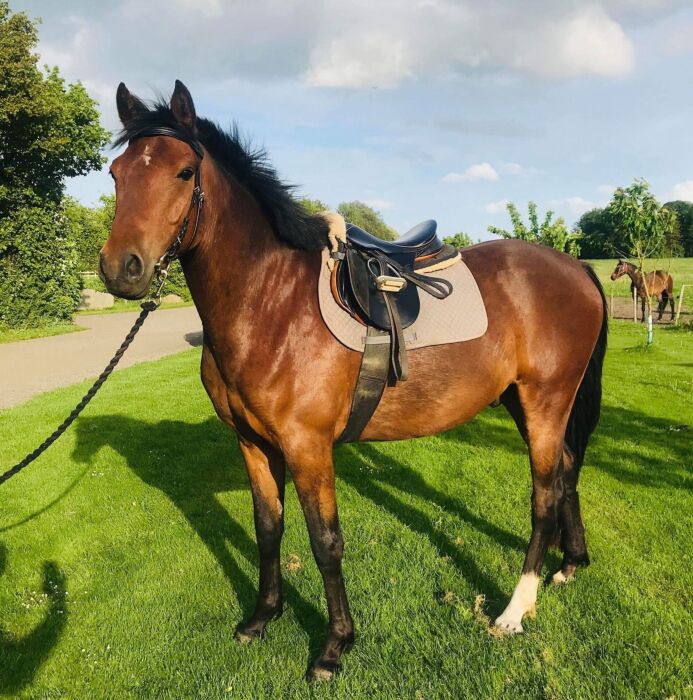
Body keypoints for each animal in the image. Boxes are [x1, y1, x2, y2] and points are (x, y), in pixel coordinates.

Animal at [99, 80, 607, 681]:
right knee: (568, 470)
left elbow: (326, 543)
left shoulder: (308, 447)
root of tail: (575, 268)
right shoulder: (253, 443)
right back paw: (570, 564)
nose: (121, 269)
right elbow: (267, 528)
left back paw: (515, 610)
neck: (269, 302)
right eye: (116, 173)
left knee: (545, 494)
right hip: (524, 401)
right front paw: (262, 618)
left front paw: (334, 645)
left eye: (182, 172)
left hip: (545, 401)